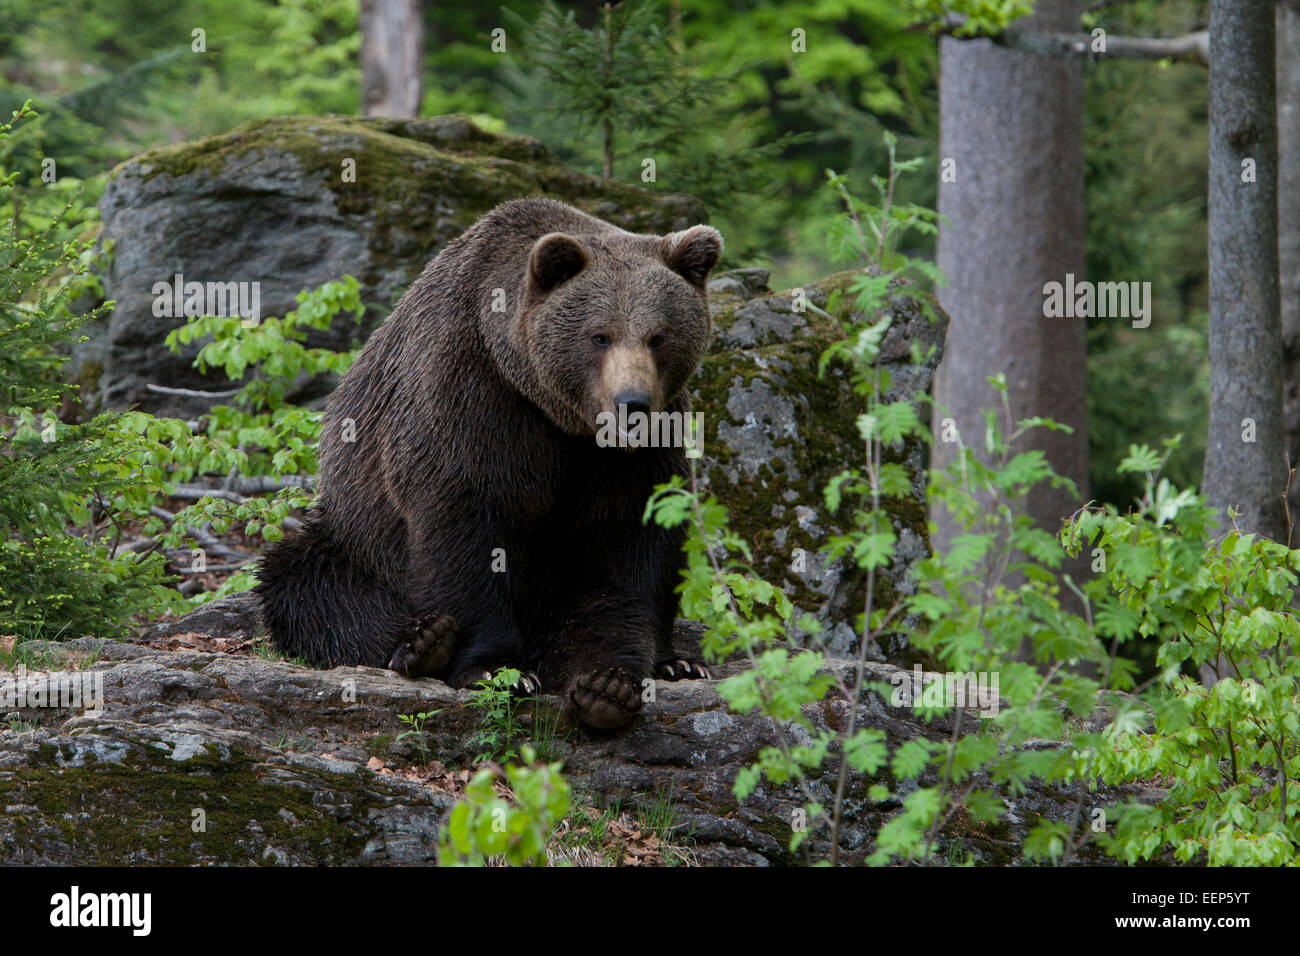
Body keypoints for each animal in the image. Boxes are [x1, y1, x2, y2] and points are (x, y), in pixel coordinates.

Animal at [256, 197, 723, 730]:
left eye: (658, 336)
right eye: (599, 336)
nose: (633, 404)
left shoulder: (633, 457)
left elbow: (628, 553)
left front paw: (610, 680)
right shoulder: (473, 398)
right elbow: (468, 526)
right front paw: (495, 669)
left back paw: (661, 667)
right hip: (357, 533)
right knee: (310, 586)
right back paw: (422, 642)